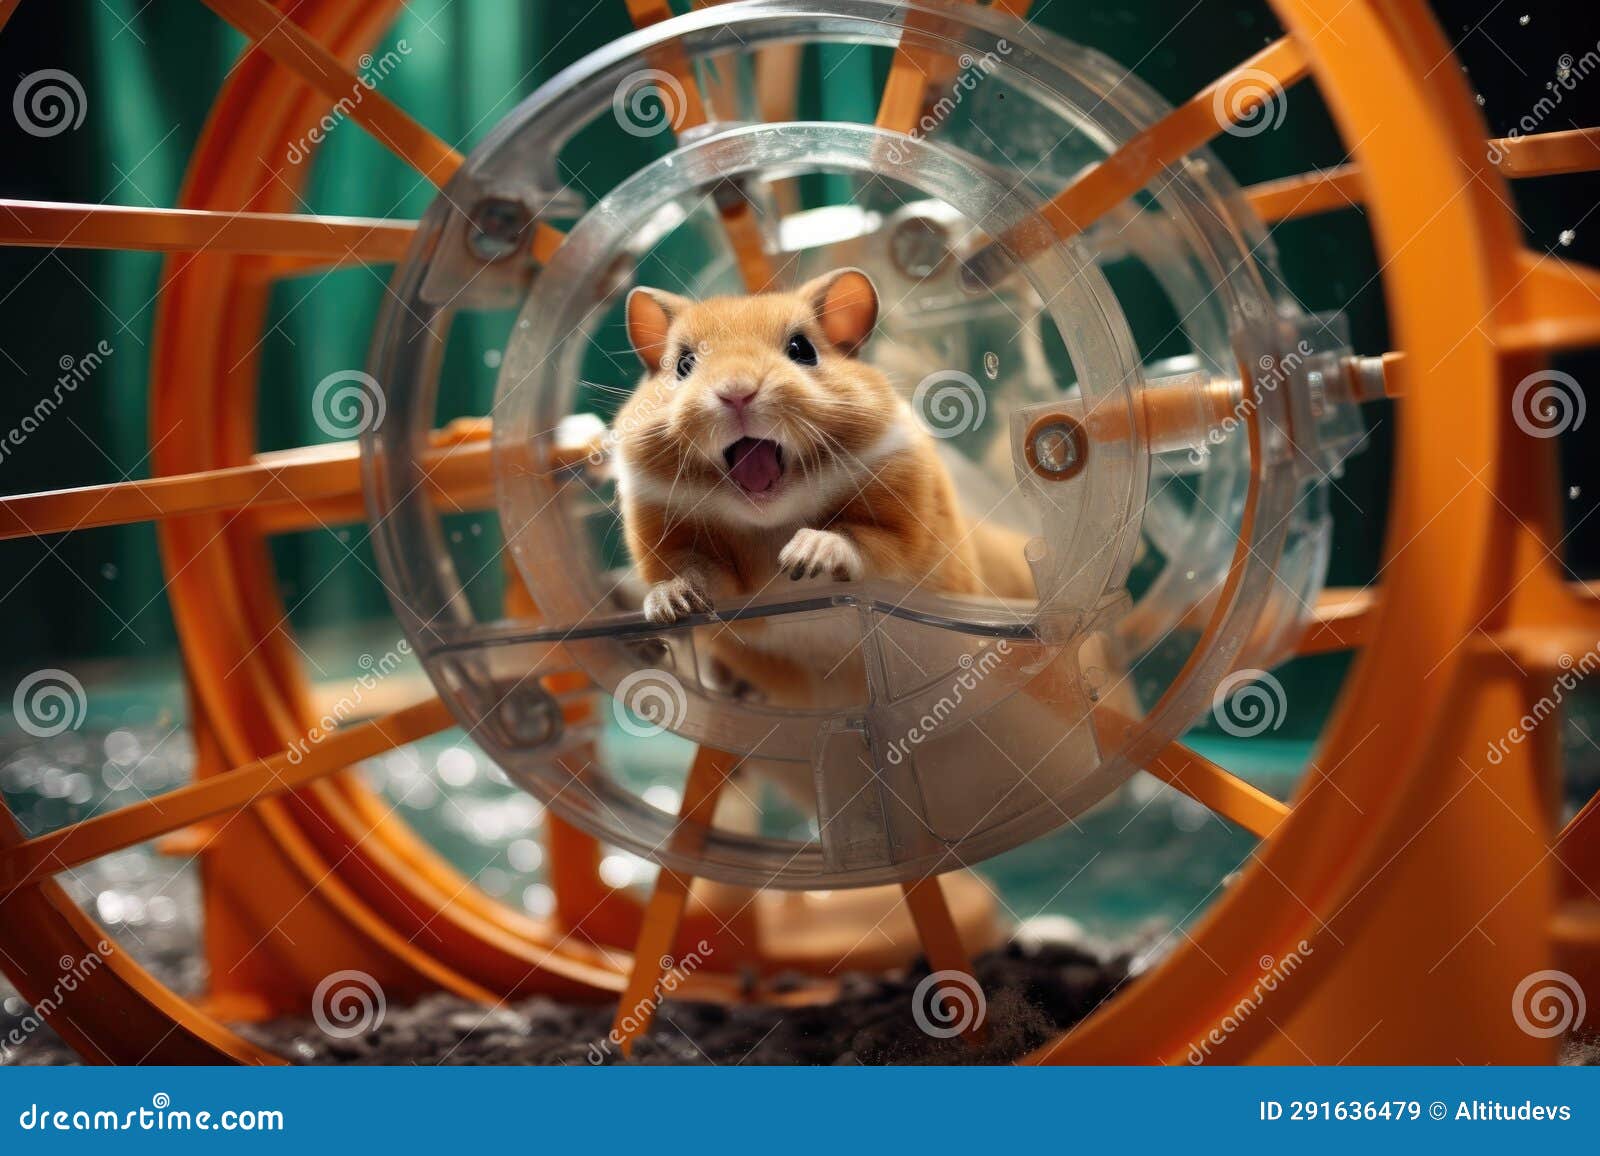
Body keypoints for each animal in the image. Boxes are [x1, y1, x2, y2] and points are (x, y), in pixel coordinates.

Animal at [611, 267, 1035, 633]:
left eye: (802, 349)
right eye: (683, 364)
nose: (736, 392)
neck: (771, 520)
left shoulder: (908, 538)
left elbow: (861, 543)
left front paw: (800, 559)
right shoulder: (679, 546)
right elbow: (695, 573)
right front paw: (668, 607)